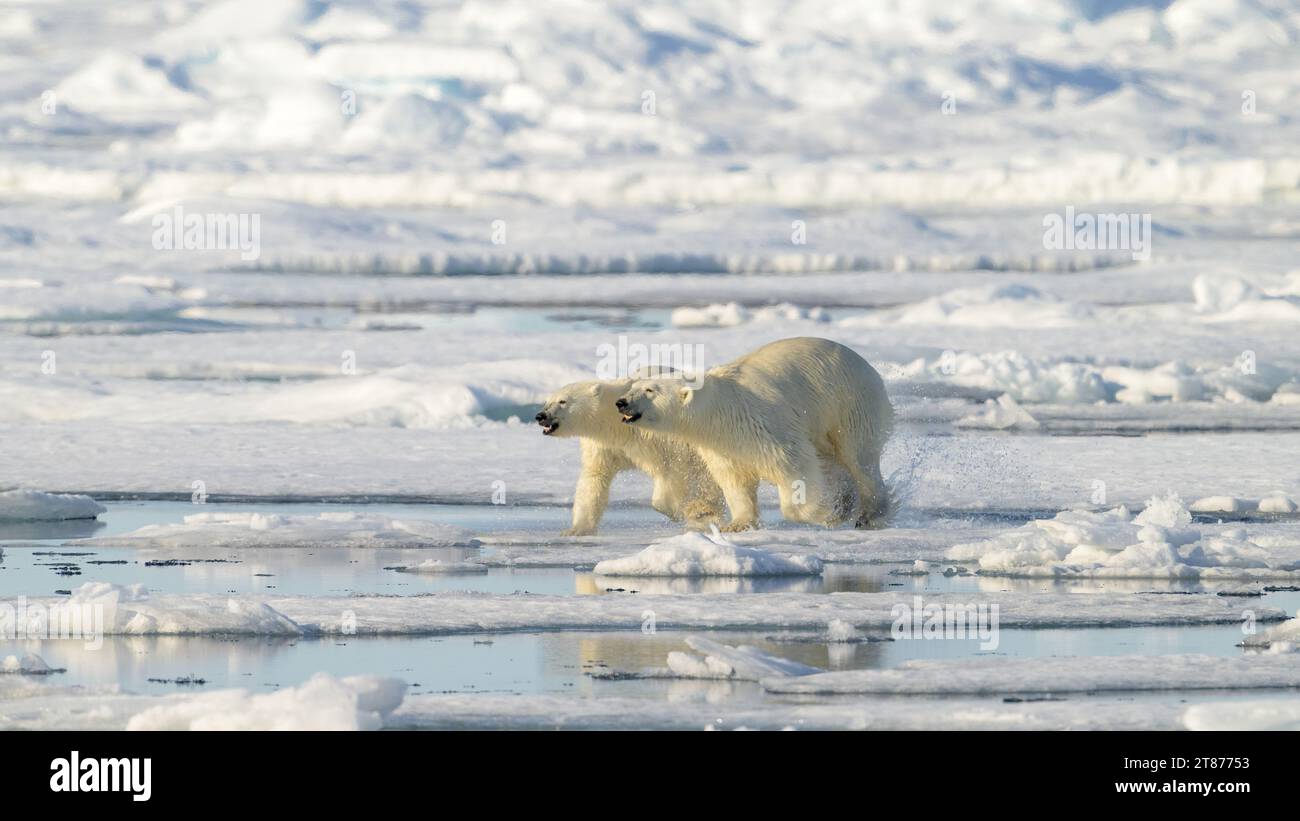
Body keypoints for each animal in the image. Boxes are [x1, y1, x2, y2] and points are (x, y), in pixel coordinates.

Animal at [535, 377, 725, 536]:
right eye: (547, 401)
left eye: (563, 401)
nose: (540, 416)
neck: (618, 427)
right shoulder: (604, 446)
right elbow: (593, 479)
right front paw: (575, 530)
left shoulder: (658, 439)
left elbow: (669, 472)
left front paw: (686, 511)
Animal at [614, 337, 893, 531]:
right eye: (634, 385)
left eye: (650, 390)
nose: (621, 402)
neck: (721, 410)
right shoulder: (721, 444)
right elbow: (734, 480)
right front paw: (737, 524)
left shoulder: (765, 423)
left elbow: (794, 465)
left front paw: (821, 512)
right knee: (832, 461)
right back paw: (845, 505)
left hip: (849, 403)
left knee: (859, 458)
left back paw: (869, 514)